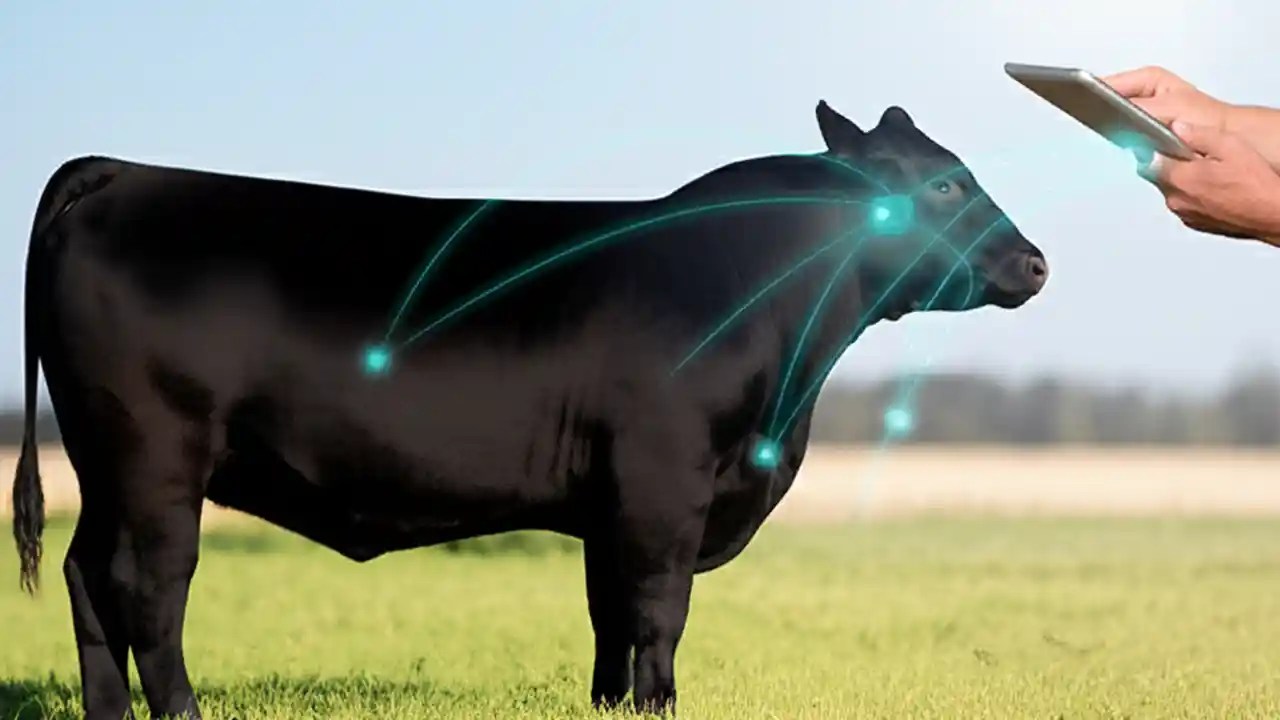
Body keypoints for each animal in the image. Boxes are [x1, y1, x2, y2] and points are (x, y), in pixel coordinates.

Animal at [11, 99, 1048, 719]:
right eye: (945, 182)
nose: (1034, 262)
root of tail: (122, 169)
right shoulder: (665, 481)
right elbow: (658, 610)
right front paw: (660, 705)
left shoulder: (611, 499)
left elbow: (607, 613)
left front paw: (611, 706)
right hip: (158, 455)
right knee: (151, 587)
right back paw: (179, 711)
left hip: (104, 459)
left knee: (85, 575)